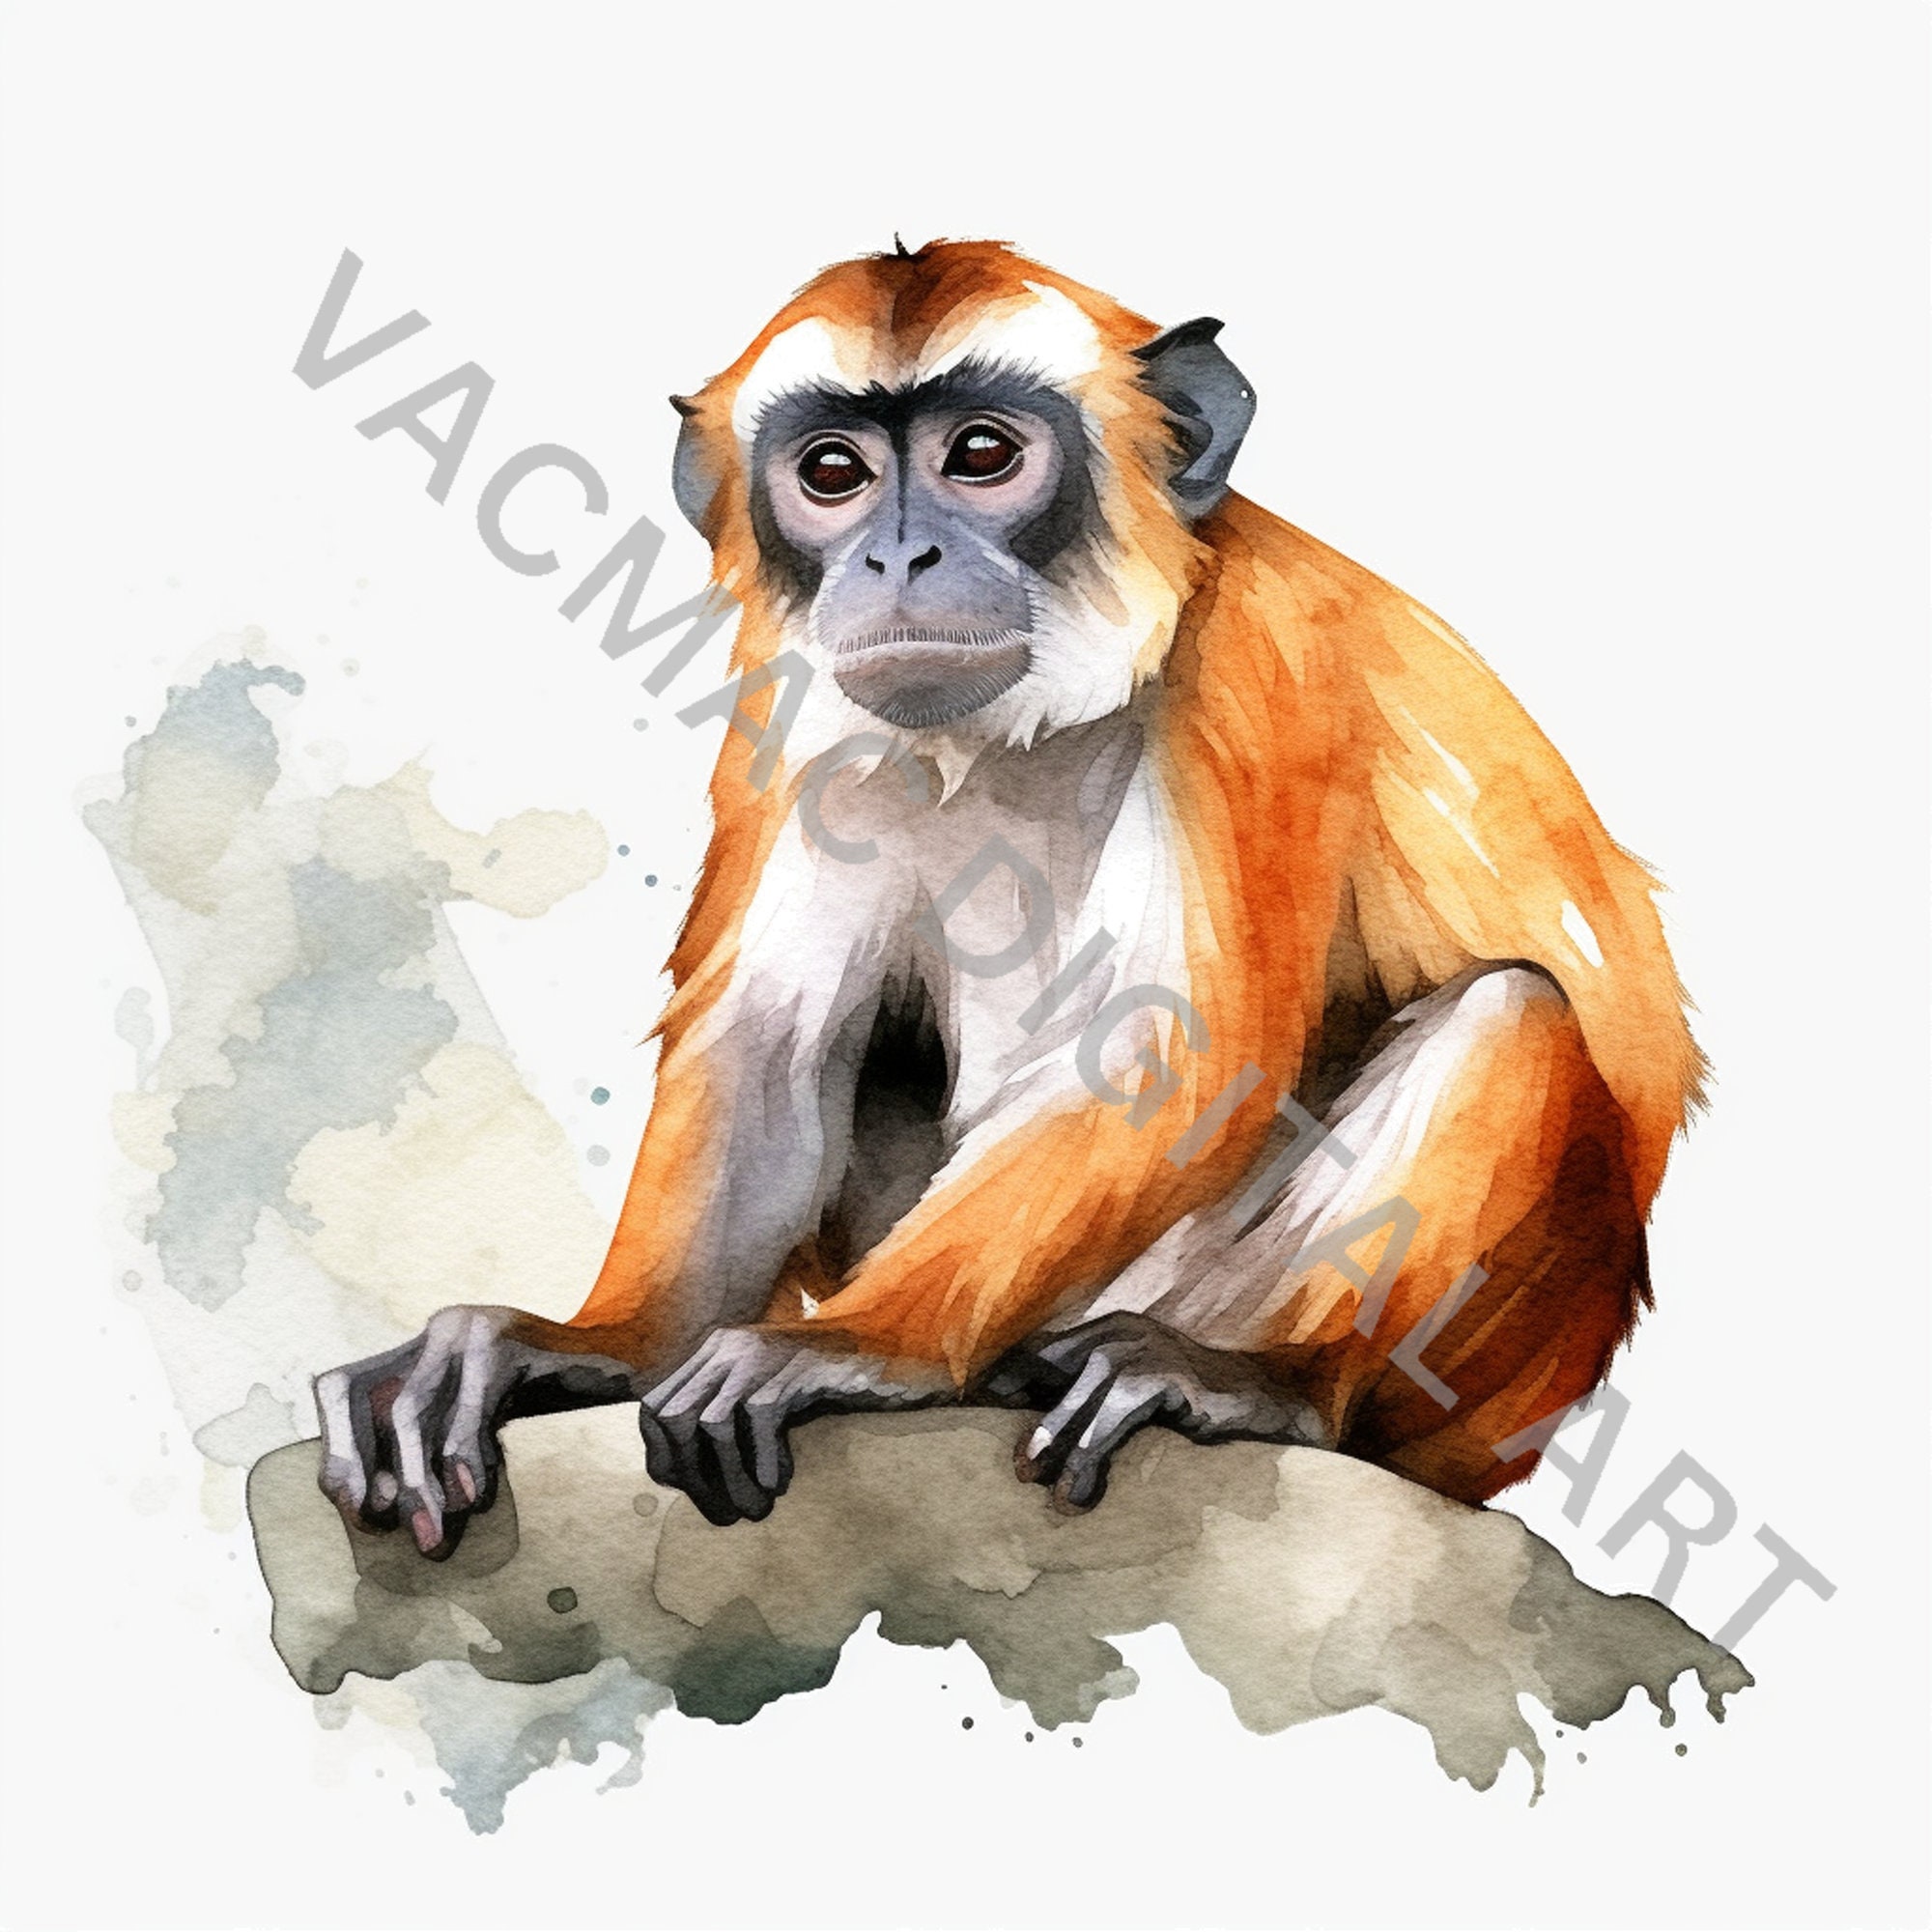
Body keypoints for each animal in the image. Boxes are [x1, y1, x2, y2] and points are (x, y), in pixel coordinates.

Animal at [317, 239, 1703, 1549]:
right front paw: (595, 1348)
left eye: (983, 454)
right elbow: (770, 1044)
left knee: (1513, 1016)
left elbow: (1180, 1059)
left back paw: (1277, 1385)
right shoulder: (793, 723)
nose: (898, 552)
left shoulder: (1258, 669)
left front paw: (850, 1350)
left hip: (1441, 1376)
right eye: (833, 474)